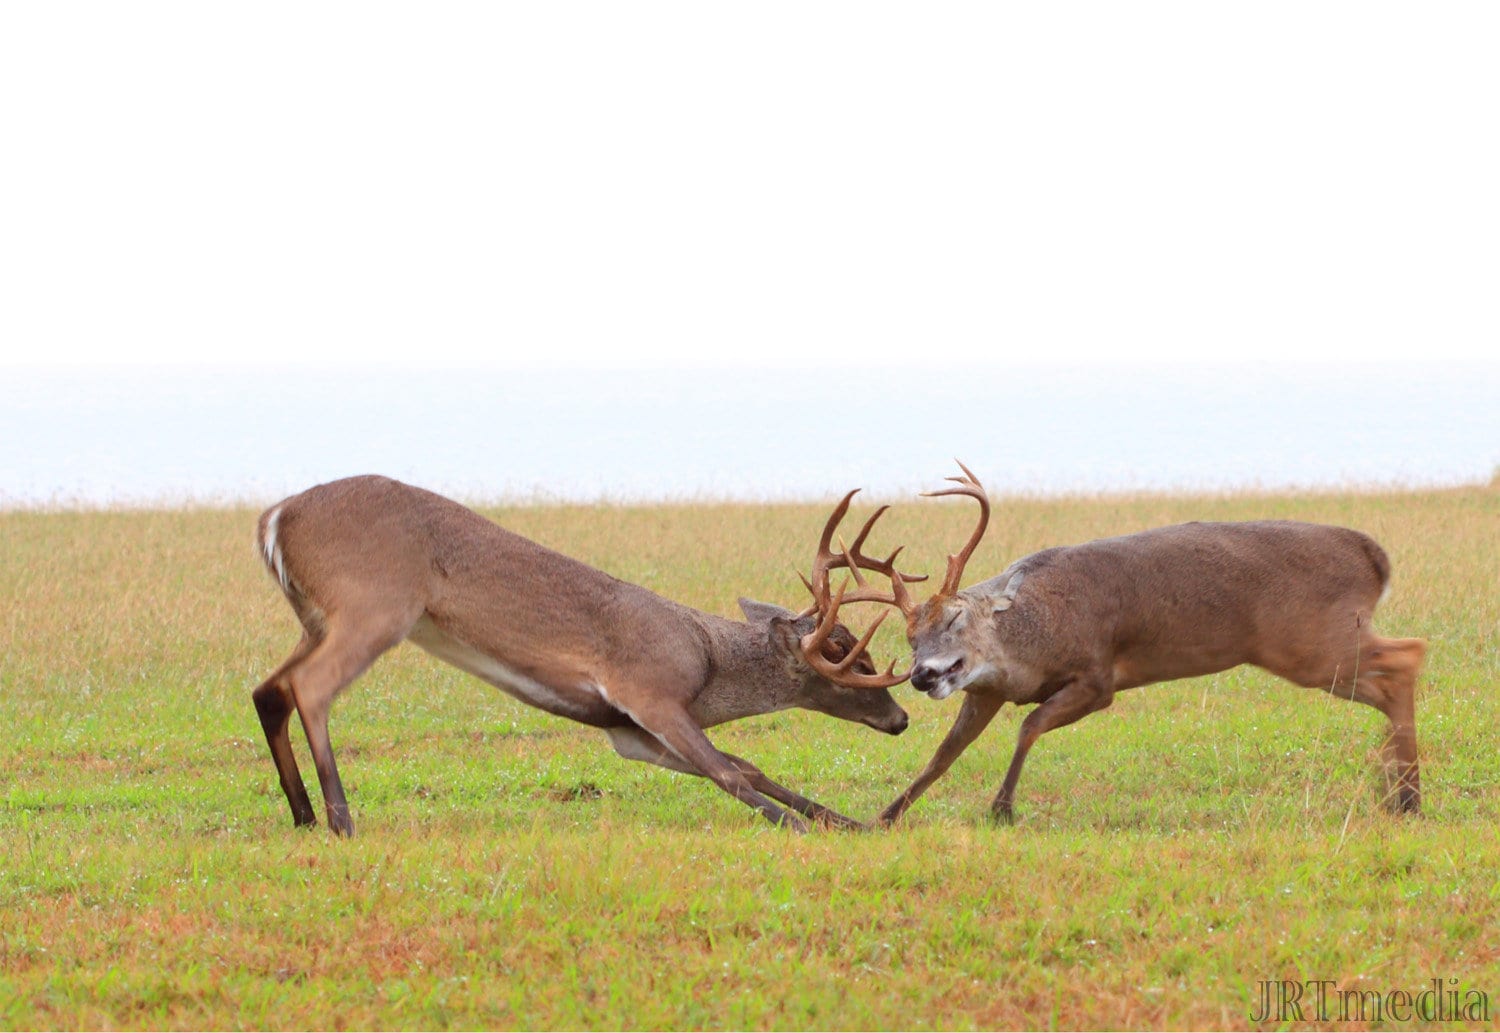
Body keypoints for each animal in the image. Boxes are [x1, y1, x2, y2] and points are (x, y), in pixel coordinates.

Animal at [249, 475, 915, 836]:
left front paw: (849, 821)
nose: (902, 719)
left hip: (317, 616)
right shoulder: (648, 690)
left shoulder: (627, 731)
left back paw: (303, 815)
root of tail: (273, 517)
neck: (708, 665)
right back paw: (341, 820)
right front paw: (799, 826)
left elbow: (741, 766)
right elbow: (726, 770)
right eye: (849, 656)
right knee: (309, 688)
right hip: (375, 606)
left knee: (268, 689)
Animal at [809, 462, 1425, 826]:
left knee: (1407, 656)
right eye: (910, 638)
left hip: (1313, 644)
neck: (1034, 633)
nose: (922, 674)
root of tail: (1376, 558)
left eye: (956, 618)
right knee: (1394, 674)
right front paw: (881, 818)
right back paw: (1399, 792)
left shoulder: (1098, 679)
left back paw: (1408, 796)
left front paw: (1002, 808)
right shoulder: (986, 691)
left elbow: (1029, 725)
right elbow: (942, 756)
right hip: (1321, 647)